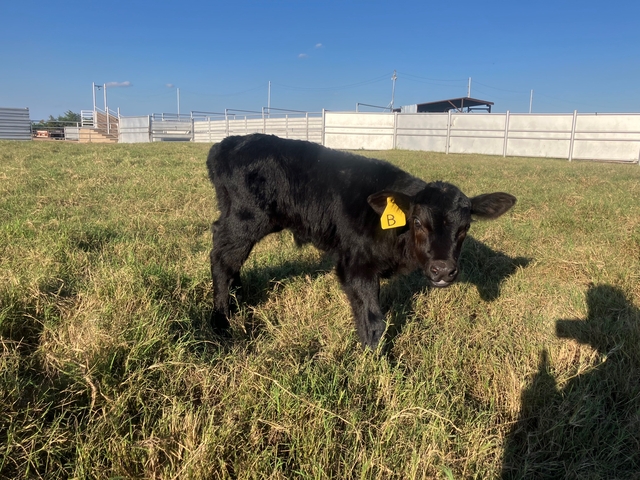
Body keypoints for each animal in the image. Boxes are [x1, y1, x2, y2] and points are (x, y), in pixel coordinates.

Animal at [206, 134, 516, 349]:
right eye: (417, 222)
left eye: (465, 227)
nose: (442, 270)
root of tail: (227, 143)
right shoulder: (355, 264)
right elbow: (373, 319)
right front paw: (374, 362)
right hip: (246, 219)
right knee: (223, 257)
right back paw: (221, 320)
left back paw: (237, 300)